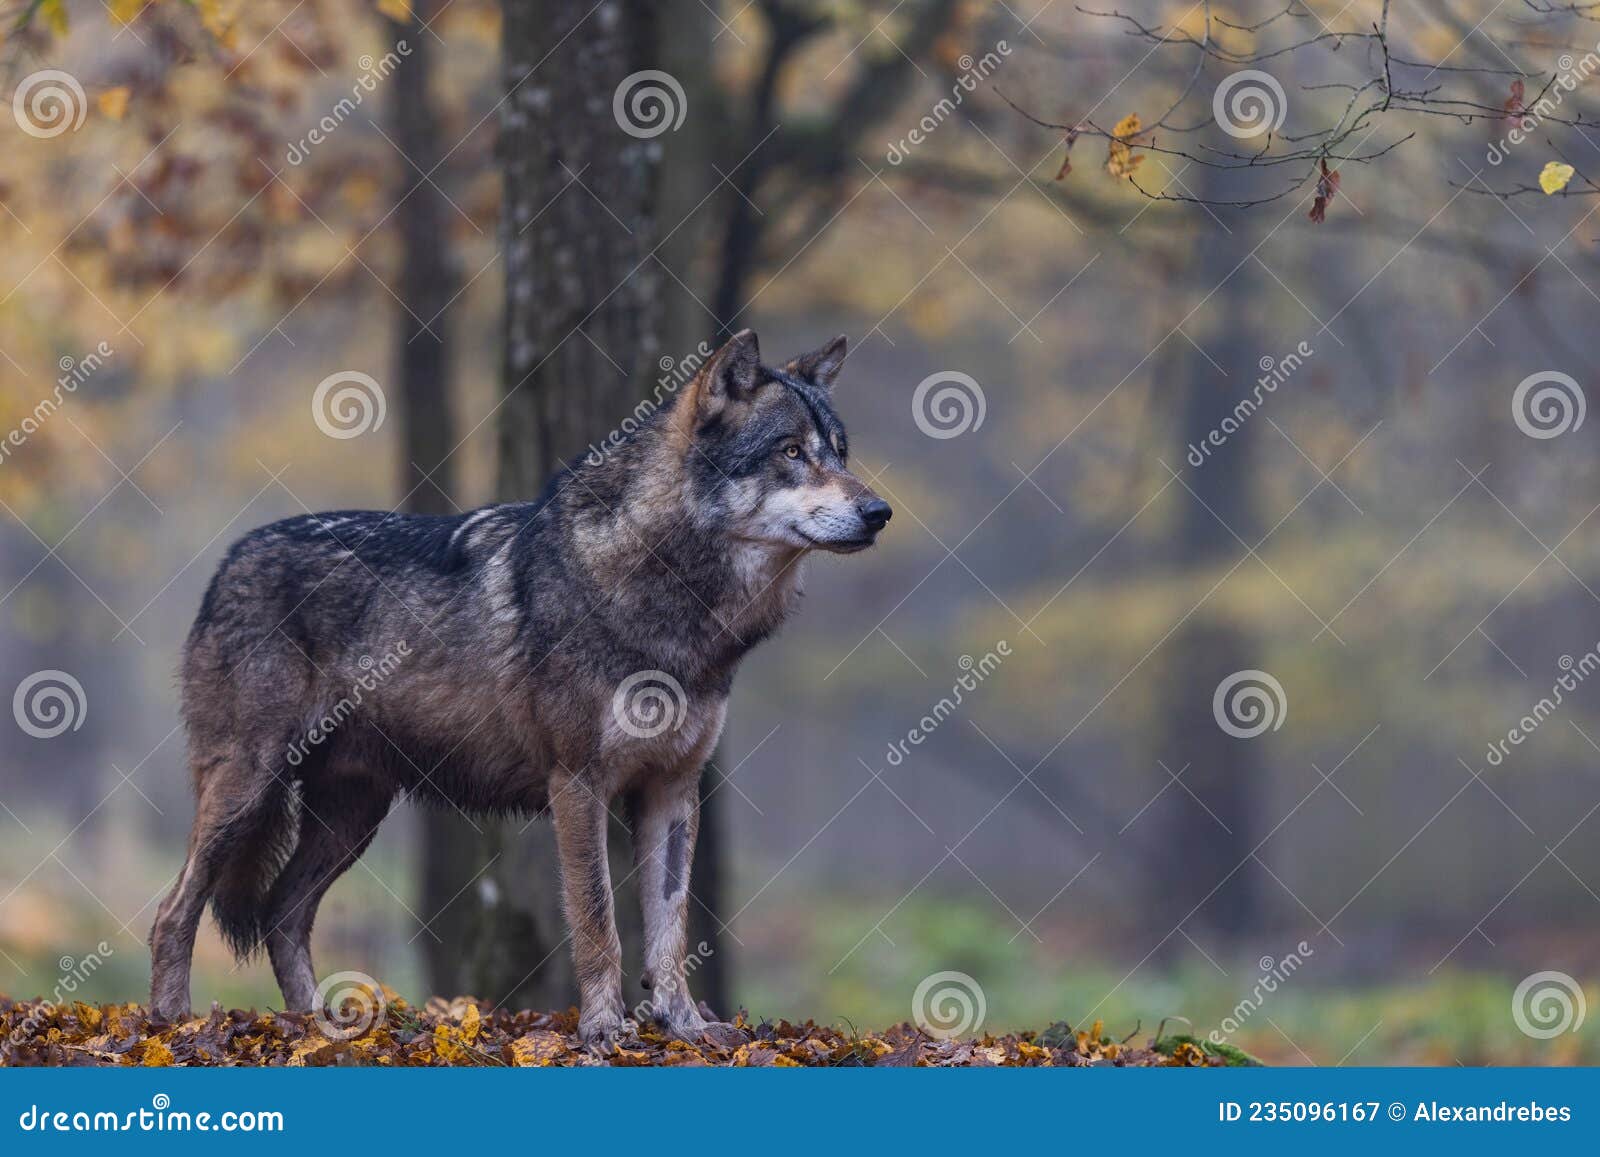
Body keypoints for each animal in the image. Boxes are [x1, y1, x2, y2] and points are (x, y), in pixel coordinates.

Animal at [147, 330, 890, 1048]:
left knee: (281, 913)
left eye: (841, 452)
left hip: (352, 818)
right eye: (790, 451)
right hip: (249, 788)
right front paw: (604, 1030)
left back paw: (313, 1029)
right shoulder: (578, 783)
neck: (671, 600)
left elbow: (670, 928)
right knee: (175, 909)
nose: (880, 510)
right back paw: (175, 1025)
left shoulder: (673, 789)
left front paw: (686, 1027)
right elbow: (598, 922)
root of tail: (230, 558)